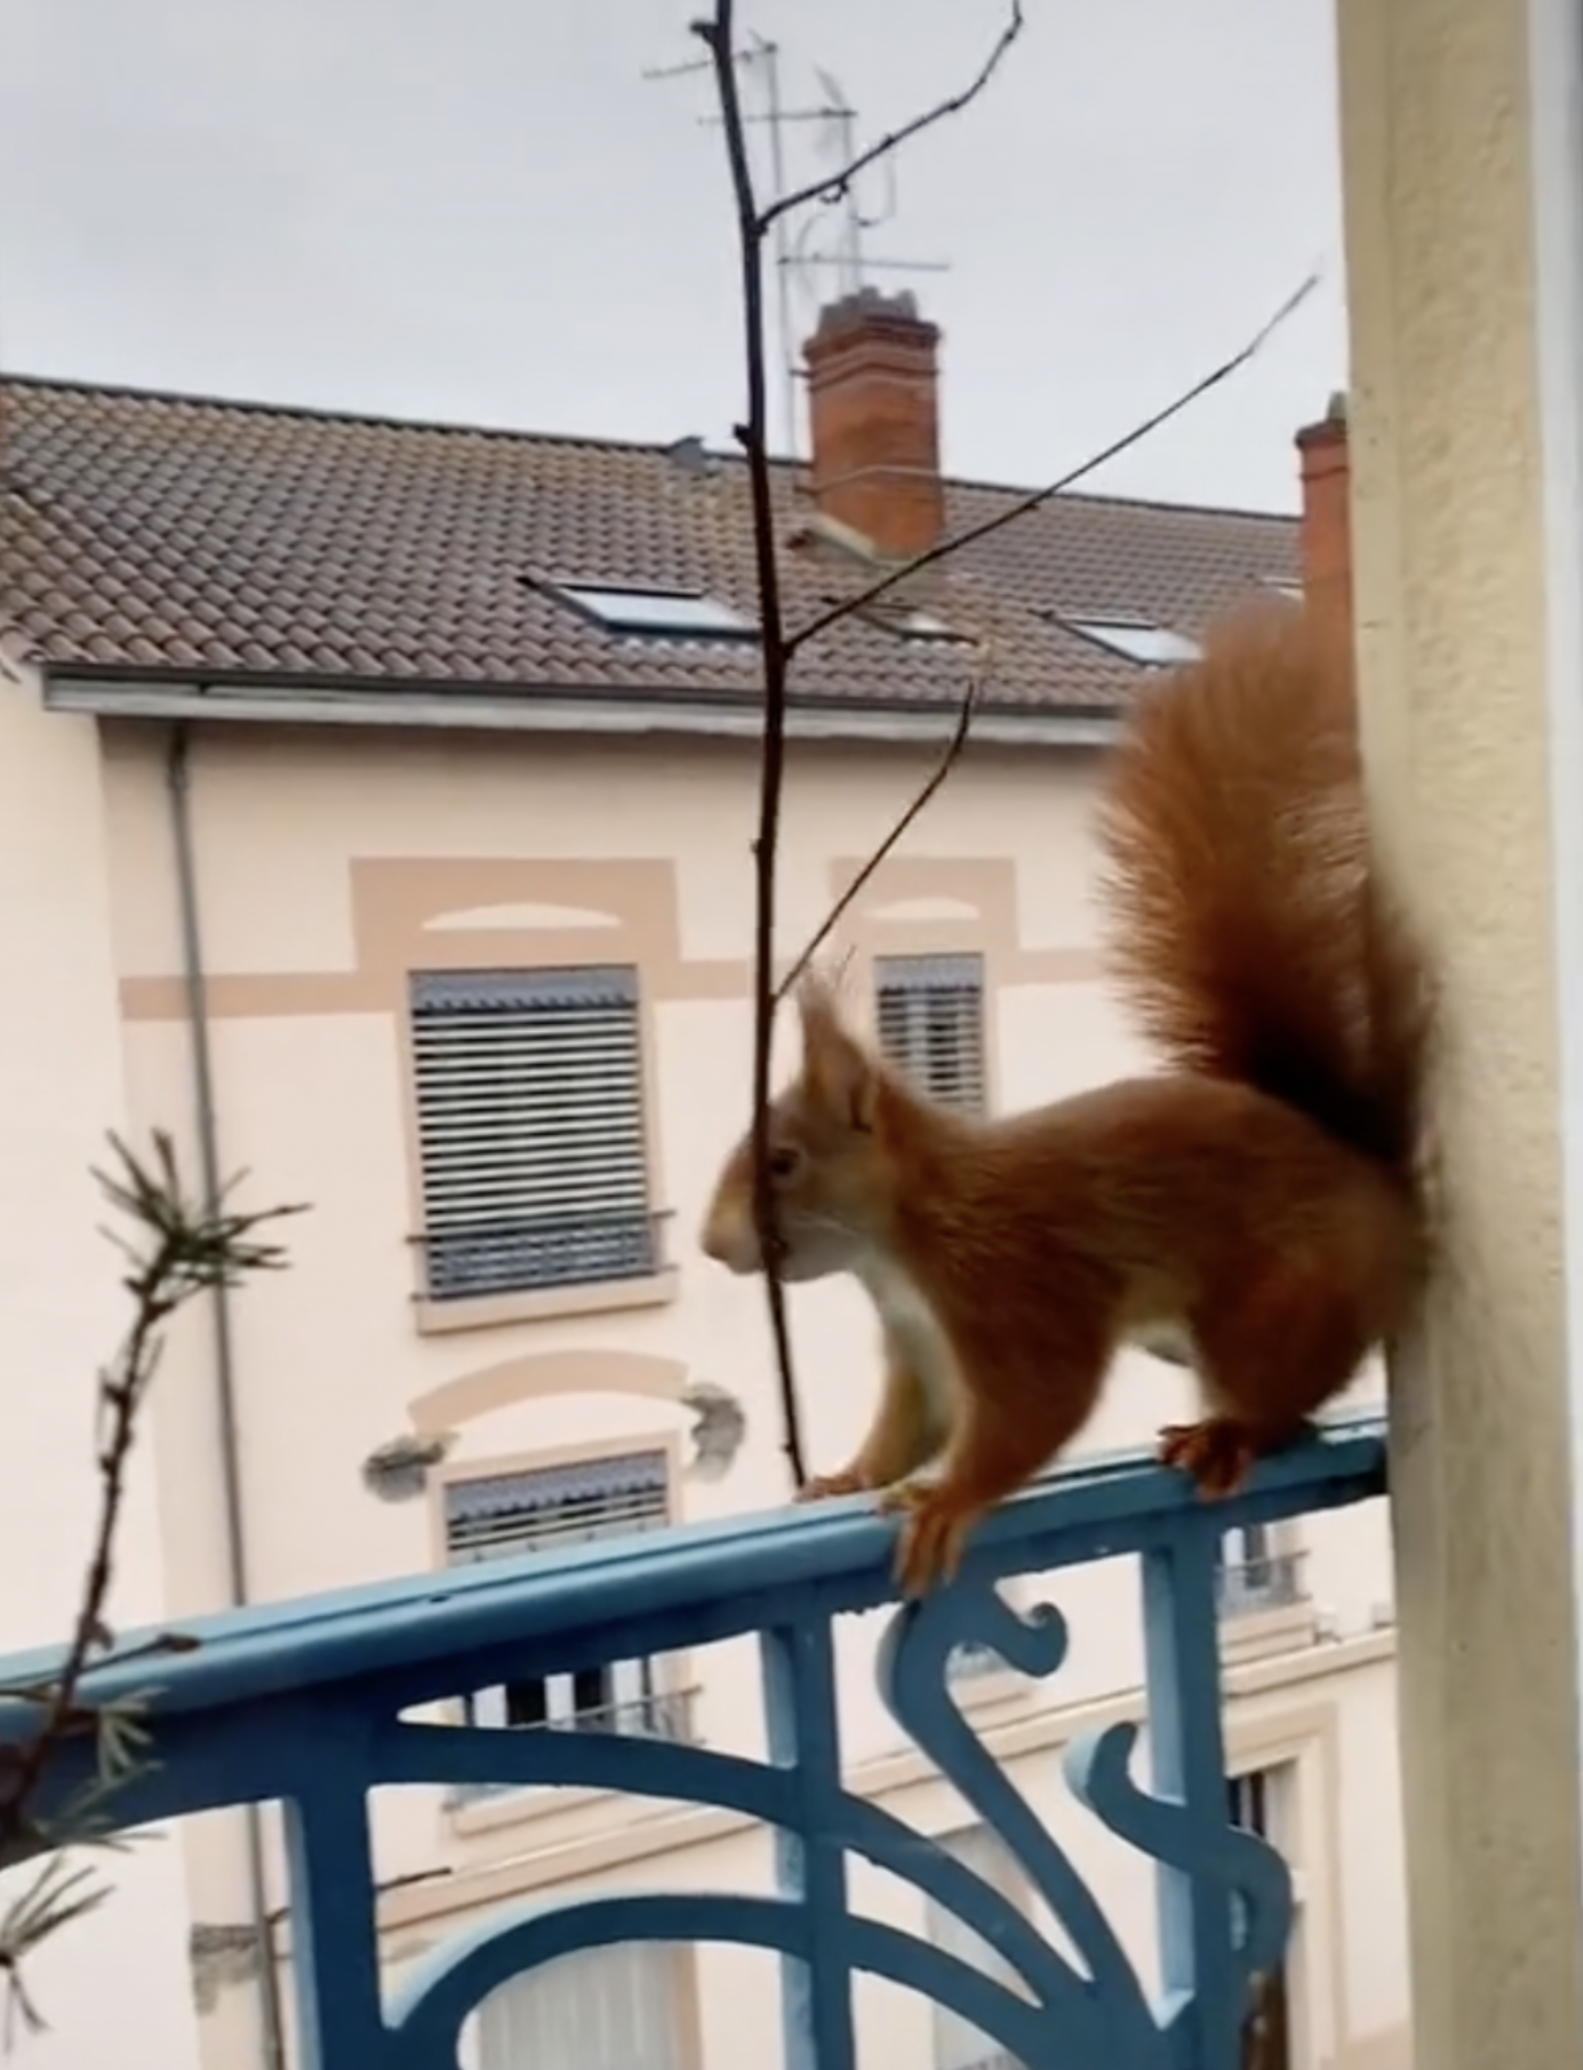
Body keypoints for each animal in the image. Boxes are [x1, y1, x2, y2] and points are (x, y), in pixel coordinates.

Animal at [699, 599, 1431, 1595]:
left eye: (783, 1161)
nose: (711, 1244)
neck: (901, 1237)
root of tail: (1368, 1175)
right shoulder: (917, 1343)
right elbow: (911, 1426)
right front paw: (848, 1478)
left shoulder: (1010, 1283)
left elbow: (1037, 1403)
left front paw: (948, 1497)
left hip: (1266, 1306)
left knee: (1283, 1393)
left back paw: (1229, 1430)